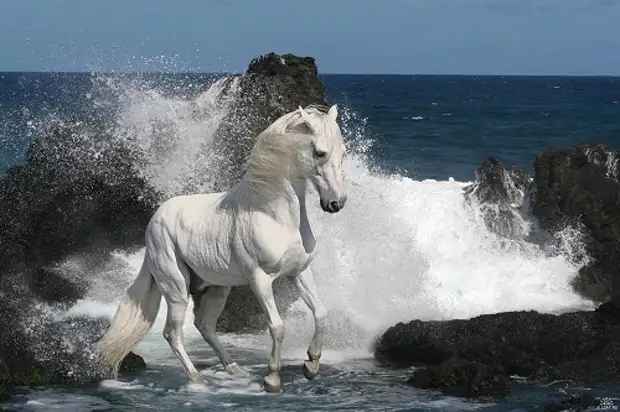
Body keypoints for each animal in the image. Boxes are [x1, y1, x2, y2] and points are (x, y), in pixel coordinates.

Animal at [97, 104, 348, 392]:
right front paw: (272, 379)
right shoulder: (260, 280)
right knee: (173, 333)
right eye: (320, 152)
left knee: (205, 326)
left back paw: (234, 368)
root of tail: (155, 220)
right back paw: (197, 378)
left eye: (343, 152)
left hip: (216, 288)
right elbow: (277, 327)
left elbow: (320, 313)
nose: (336, 203)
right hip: (176, 287)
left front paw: (311, 365)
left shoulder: (299, 272)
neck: (273, 215)